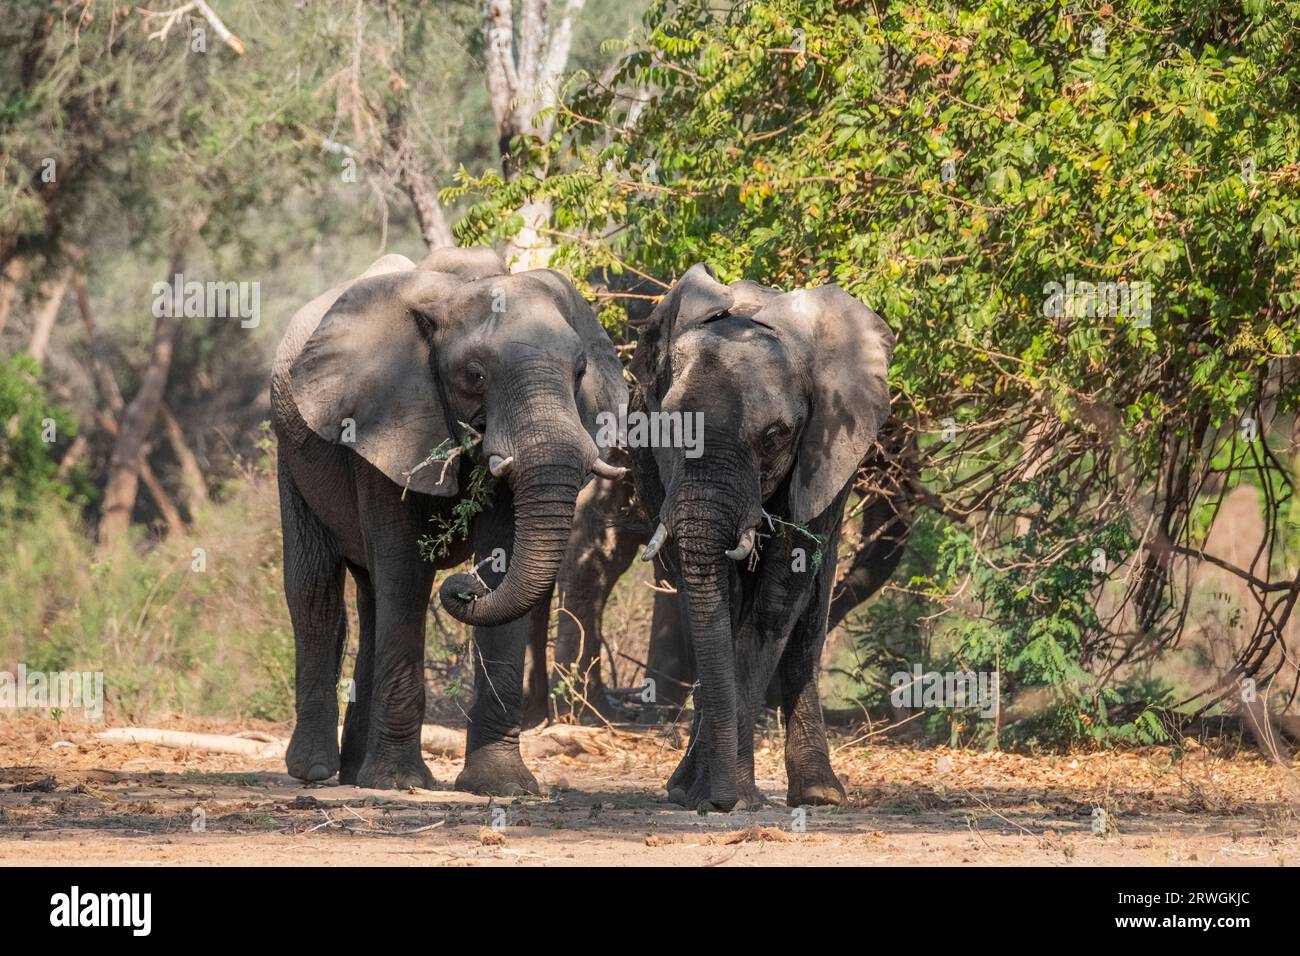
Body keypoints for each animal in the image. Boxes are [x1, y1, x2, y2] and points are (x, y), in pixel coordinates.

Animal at [270, 247, 627, 793]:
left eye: (580, 369)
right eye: (474, 376)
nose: (461, 588)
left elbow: (501, 557)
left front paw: (501, 786)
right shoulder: (383, 422)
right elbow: (406, 571)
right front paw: (399, 782)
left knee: (372, 598)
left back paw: (355, 773)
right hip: (290, 451)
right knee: (315, 588)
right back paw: (315, 771)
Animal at [626, 263, 895, 812]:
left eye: (775, 436)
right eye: (669, 428)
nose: (720, 803)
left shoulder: (826, 449)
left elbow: (778, 596)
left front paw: (732, 798)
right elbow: (721, 600)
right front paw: (704, 793)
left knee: (810, 612)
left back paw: (819, 795)